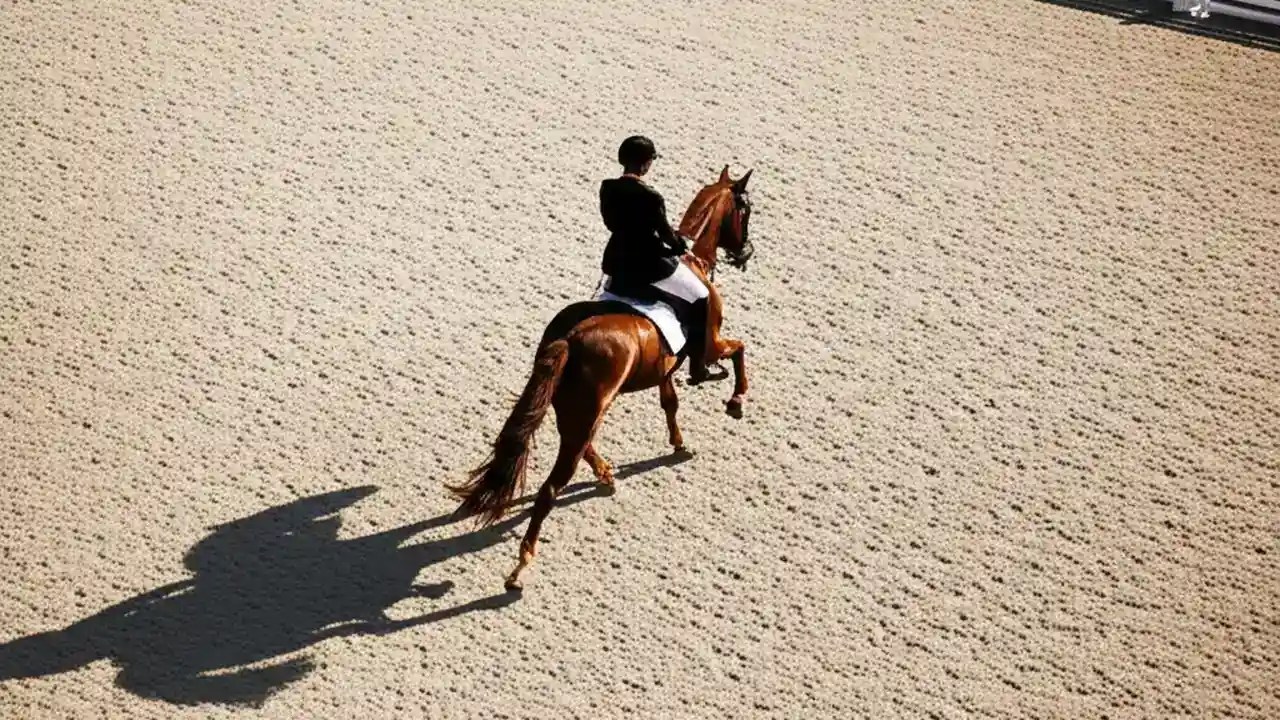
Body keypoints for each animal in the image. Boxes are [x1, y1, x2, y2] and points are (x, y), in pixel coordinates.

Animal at [446, 165, 755, 591]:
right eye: (745, 209)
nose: (746, 253)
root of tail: (572, 337)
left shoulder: (664, 367)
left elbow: (670, 402)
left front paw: (678, 442)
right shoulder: (710, 344)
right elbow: (739, 350)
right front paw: (736, 401)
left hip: (571, 407)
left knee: (582, 444)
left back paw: (605, 474)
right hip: (589, 408)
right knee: (551, 488)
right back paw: (520, 568)